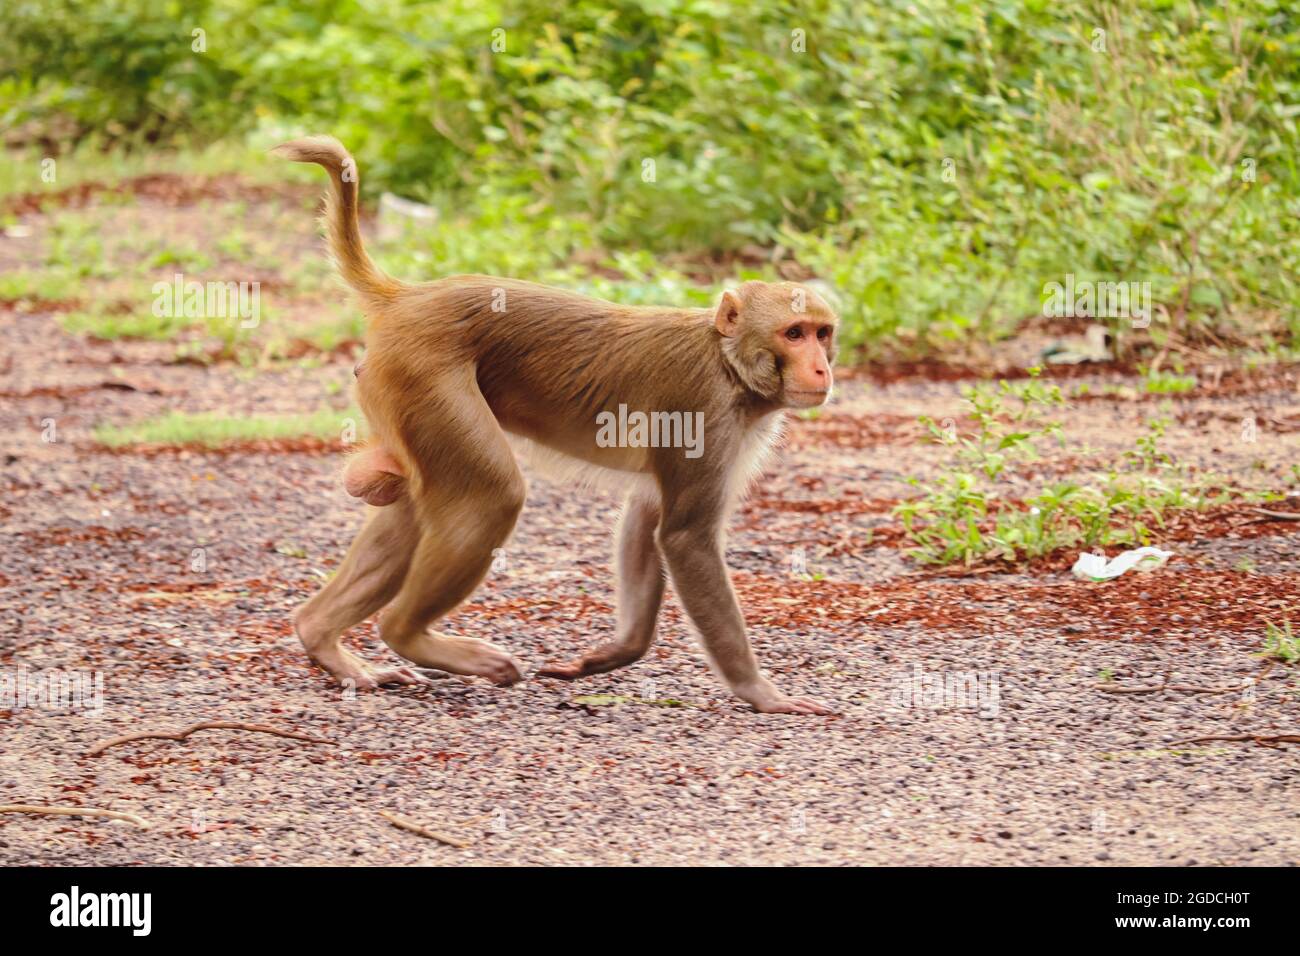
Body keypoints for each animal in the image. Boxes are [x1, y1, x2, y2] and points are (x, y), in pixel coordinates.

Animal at [275, 135, 838, 715]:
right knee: (490, 494)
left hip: (398, 391)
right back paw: (406, 633)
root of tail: (407, 296)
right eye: (794, 333)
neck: (729, 365)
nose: (822, 368)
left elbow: (646, 519)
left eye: (823, 333)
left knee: (415, 501)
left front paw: (613, 654)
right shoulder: (705, 413)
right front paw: (760, 692)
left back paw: (321, 635)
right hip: (422, 375)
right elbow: (685, 537)